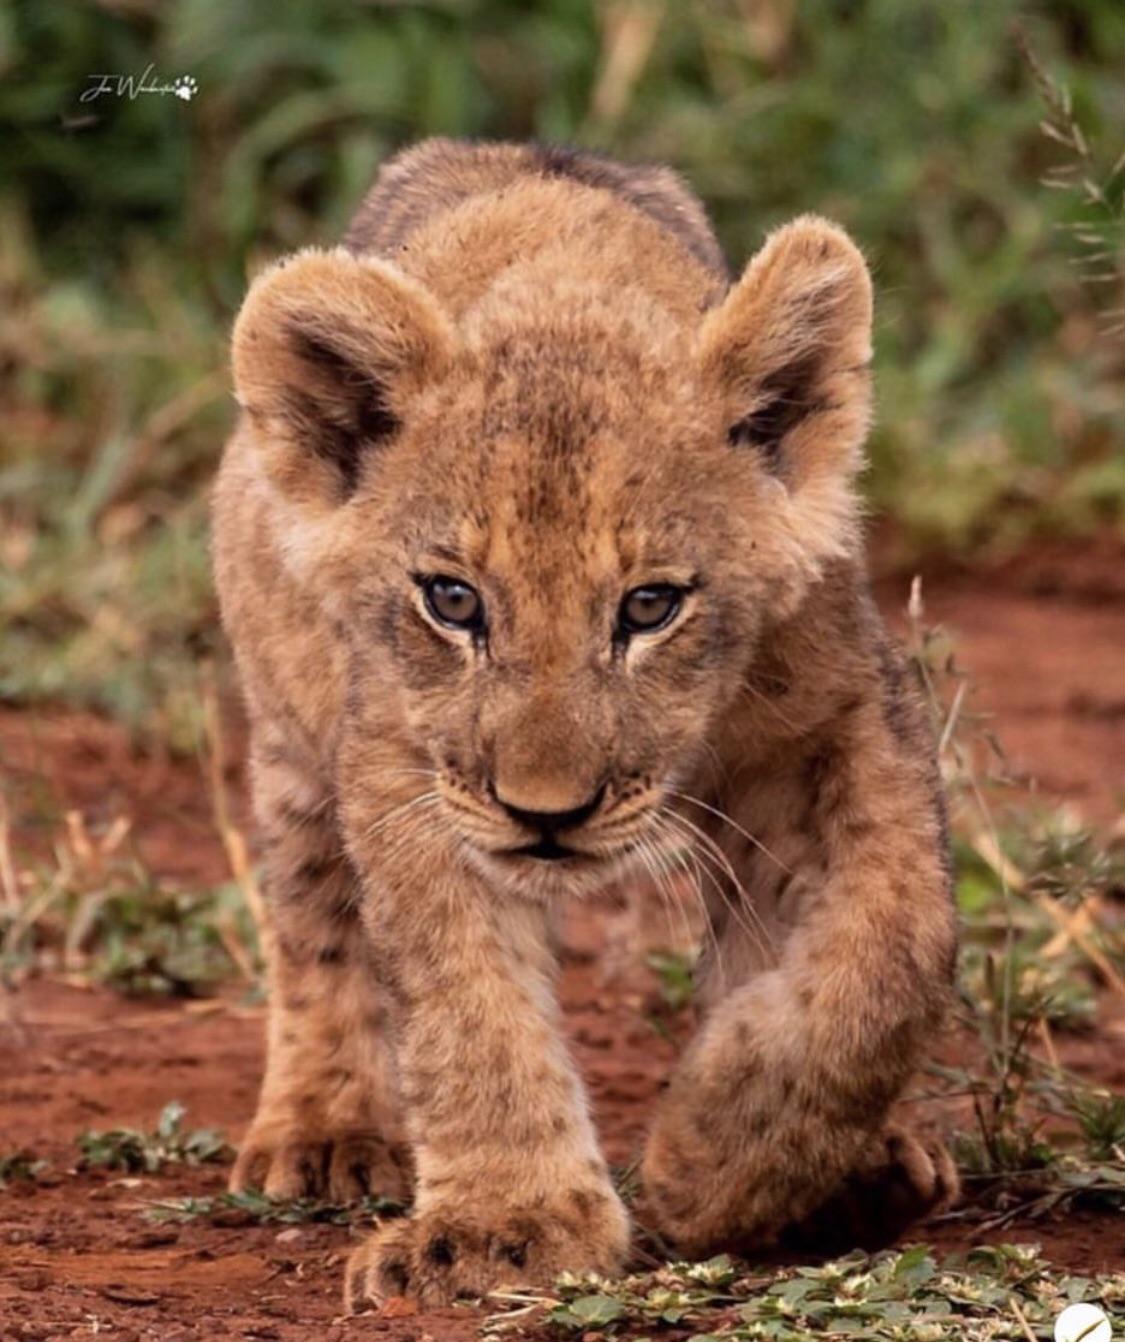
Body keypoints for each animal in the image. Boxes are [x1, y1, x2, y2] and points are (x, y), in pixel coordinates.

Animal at [212, 138, 958, 1309]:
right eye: (454, 600)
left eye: (649, 606)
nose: (545, 814)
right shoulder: (409, 768)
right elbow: (466, 1001)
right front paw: (503, 1229)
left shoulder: (845, 713)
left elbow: (892, 954)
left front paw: (714, 1158)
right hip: (291, 732)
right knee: (312, 922)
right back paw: (323, 1131)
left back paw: (860, 1175)